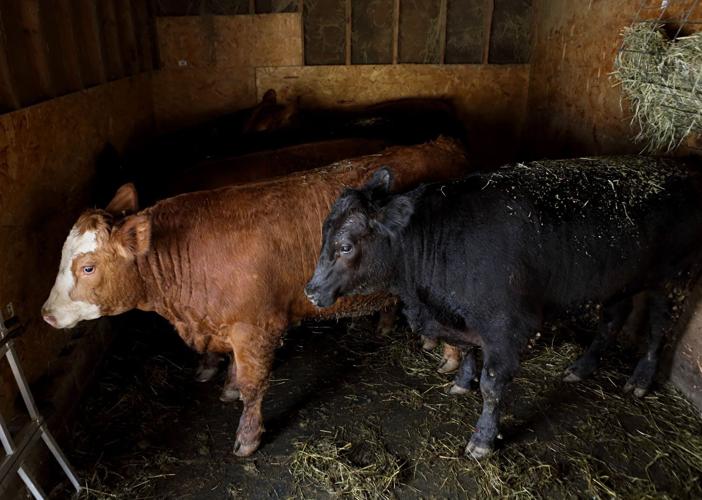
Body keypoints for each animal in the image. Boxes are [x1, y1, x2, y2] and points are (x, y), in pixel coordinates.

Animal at [41, 138, 469, 457]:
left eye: (88, 267)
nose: (46, 314)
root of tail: (441, 143)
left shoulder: (256, 327)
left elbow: (253, 386)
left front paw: (247, 437)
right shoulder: (228, 324)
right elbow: (233, 366)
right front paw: (227, 384)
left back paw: (450, 361)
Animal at [305, 156, 702, 459]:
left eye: (345, 246)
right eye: (323, 235)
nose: (310, 291)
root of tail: (677, 166)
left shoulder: (506, 326)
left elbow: (492, 385)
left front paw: (482, 440)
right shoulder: (459, 318)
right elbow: (467, 351)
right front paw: (461, 382)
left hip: (674, 277)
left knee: (659, 326)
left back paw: (641, 379)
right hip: (617, 279)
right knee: (613, 318)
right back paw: (582, 366)